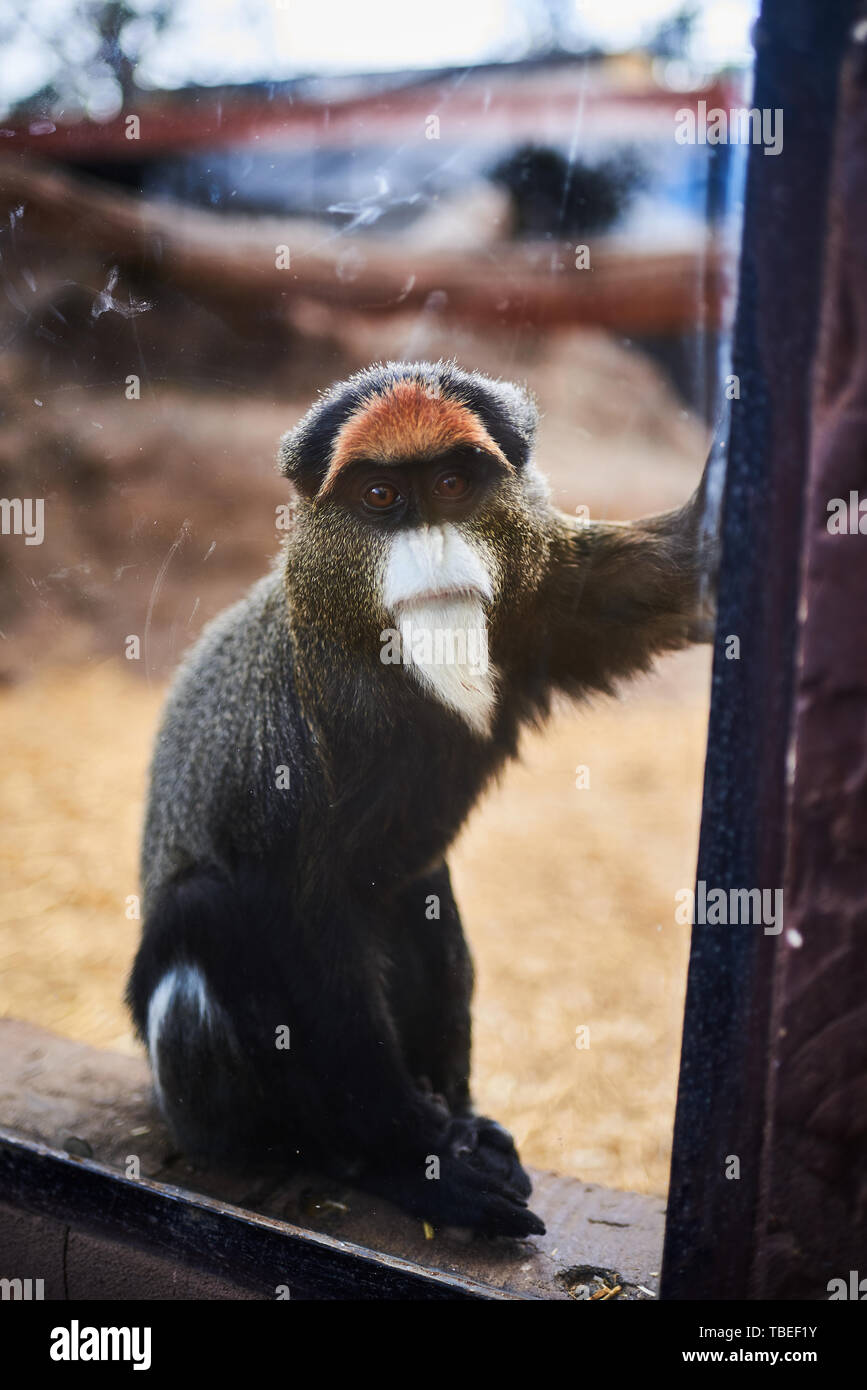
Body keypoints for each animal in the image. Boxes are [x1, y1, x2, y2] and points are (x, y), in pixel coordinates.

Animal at [127, 359, 716, 1239]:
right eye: (379, 497)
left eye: (449, 485)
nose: (432, 545)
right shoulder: (283, 747)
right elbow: (292, 920)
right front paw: (416, 1163)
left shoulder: (552, 588)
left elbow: (678, 581)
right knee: (208, 910)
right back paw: (347, 1156)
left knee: (418, 892)